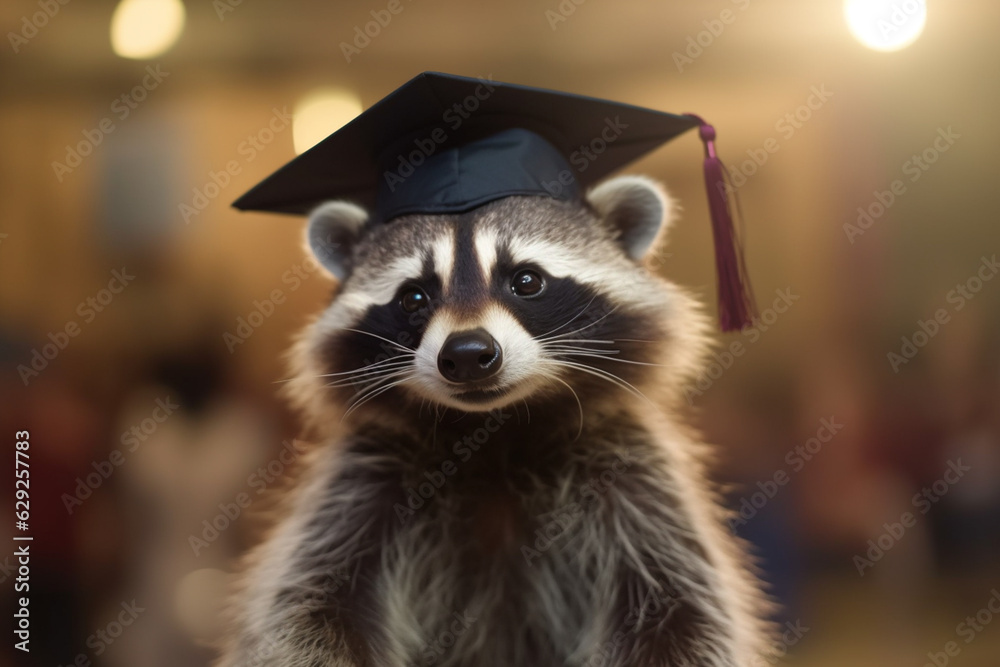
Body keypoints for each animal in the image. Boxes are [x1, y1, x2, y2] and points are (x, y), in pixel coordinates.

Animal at [217, 175, 771, 666]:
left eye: (526, 280)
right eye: (414, 296)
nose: (466, 355)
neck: (496, 432)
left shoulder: (636, 482)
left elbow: (680, 614)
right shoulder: (358, 489)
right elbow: (310, 609)